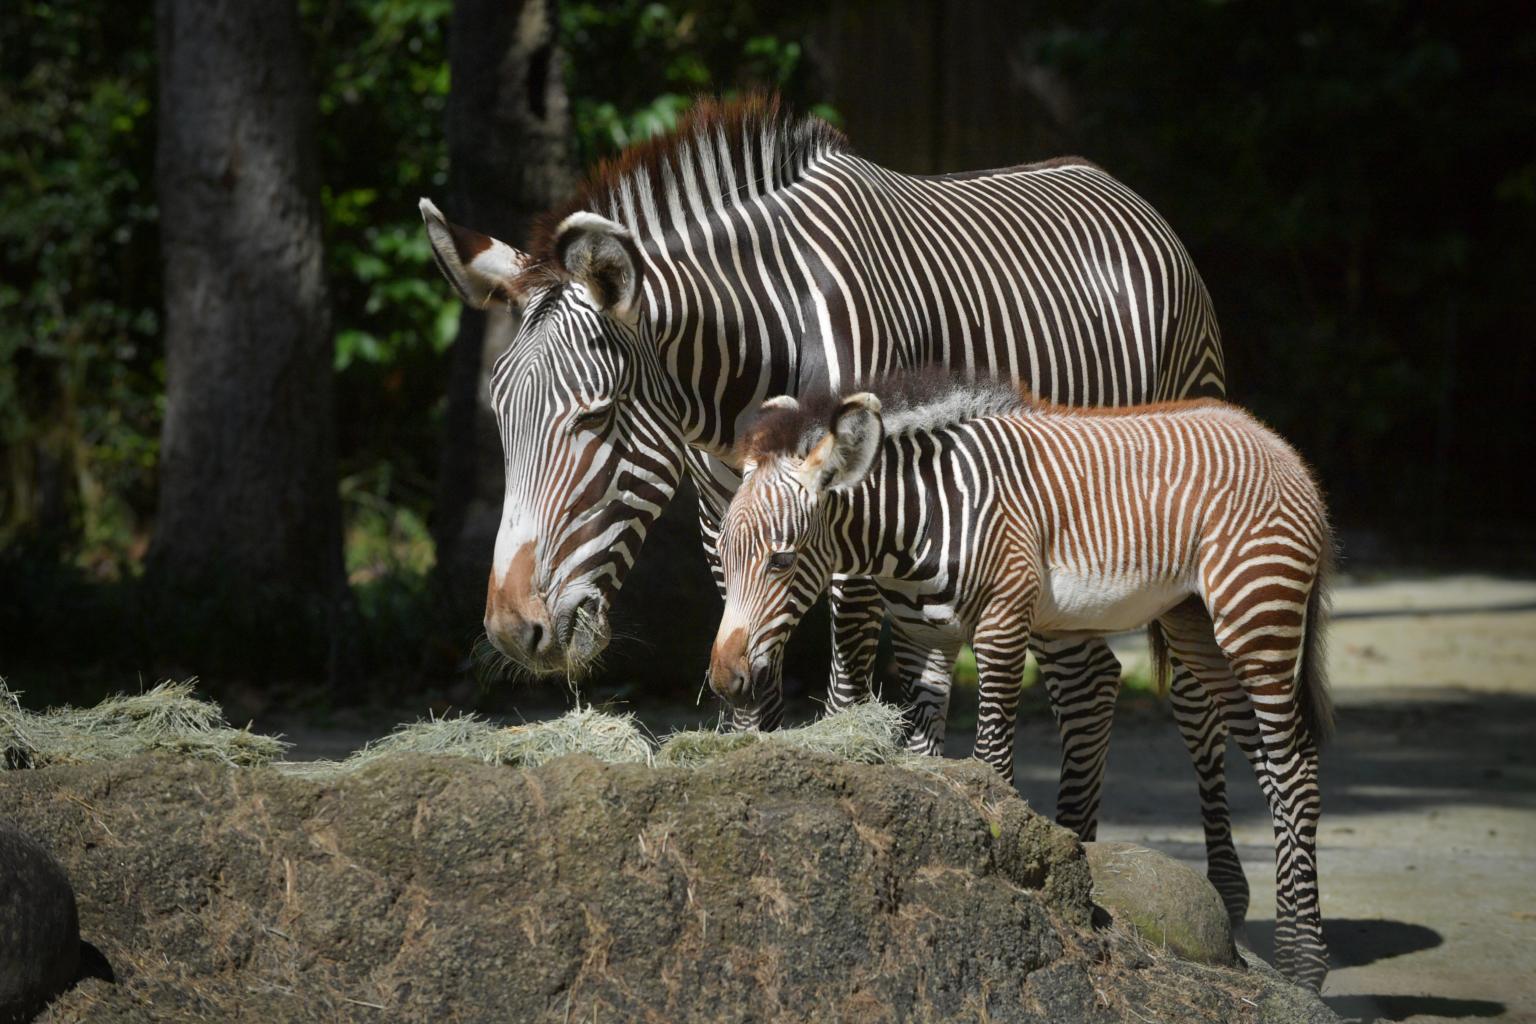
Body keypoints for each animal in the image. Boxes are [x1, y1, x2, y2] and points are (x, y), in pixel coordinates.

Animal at [419, 95, 1244, 913]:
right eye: (499, 416)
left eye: (594, 418)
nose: (513, 631)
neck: (749, 363)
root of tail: (1112, 184)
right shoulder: (726, 523)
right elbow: (754, 674)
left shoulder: (853, 519)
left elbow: (848, 683)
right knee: (1088, 681)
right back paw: (1076, 851)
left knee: (1193, 690)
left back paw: (1226, 895)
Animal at [706, 373, 1335, 989]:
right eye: (722, 553)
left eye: (781, 561)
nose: (724, 680)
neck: (921, 520)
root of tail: (1273, 440)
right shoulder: (922, 642)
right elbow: (927, 761)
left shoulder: (1003, 627)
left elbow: (992, 764)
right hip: (1195, 624)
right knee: (1272, 762)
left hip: (1257, 614)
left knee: (1296, 768)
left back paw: (1304, 963)